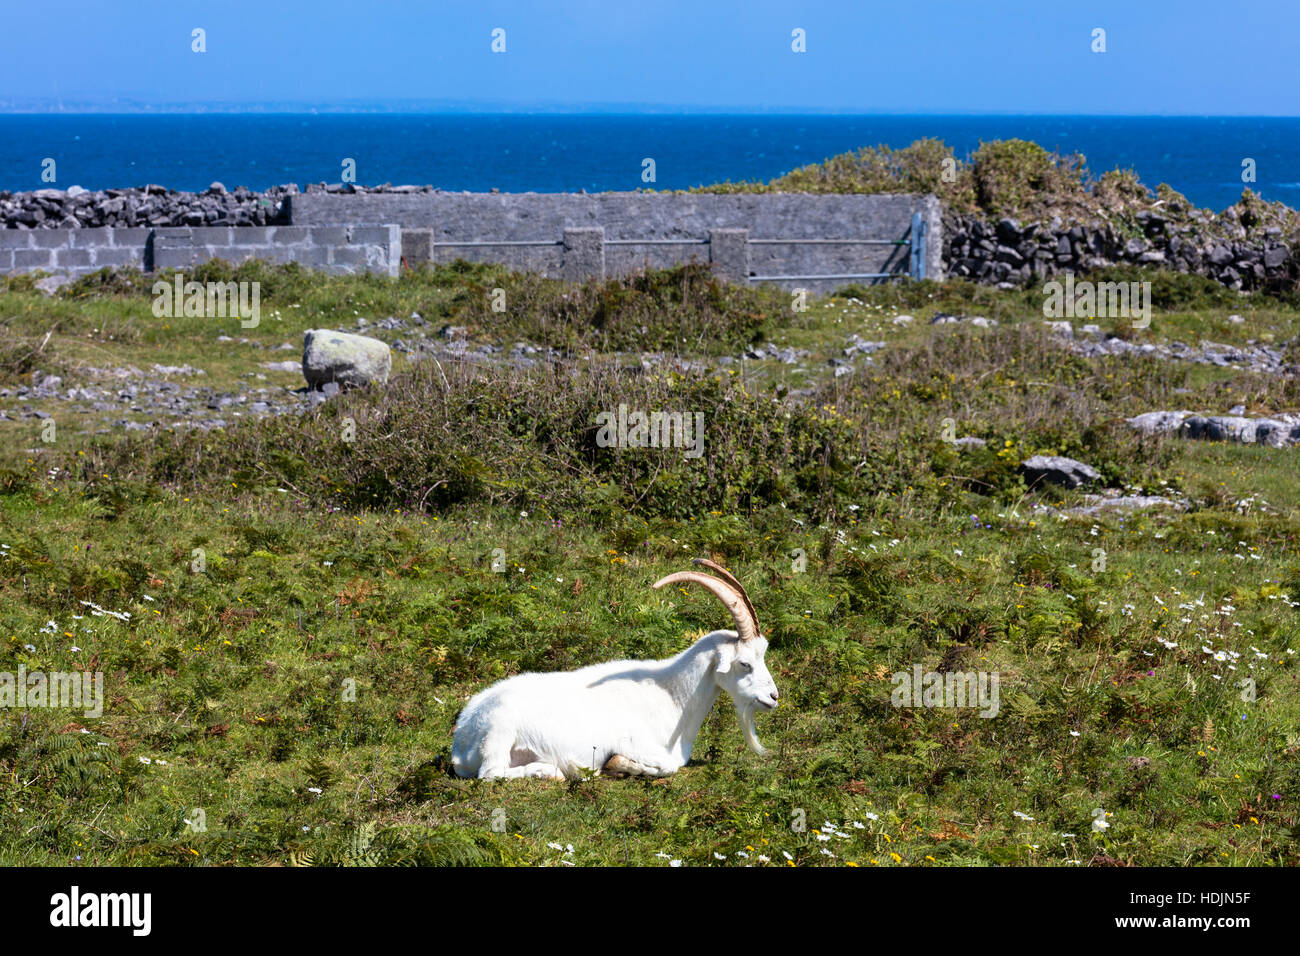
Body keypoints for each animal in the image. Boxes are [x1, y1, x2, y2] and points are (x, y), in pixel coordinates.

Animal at [451, 559, 779, 779]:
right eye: (745, 663)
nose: (773, 697)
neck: (671, 695)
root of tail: (461, 738)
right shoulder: (632, 742)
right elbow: (667, 767)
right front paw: (617, 765)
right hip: (499, 730)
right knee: (491, 772)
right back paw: (553, 771)